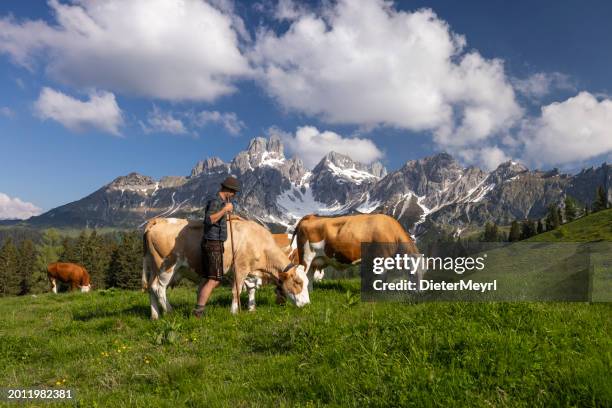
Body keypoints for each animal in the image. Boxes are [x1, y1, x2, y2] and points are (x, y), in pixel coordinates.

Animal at [141, 217, 308, 318]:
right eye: (298, 282)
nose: (307, 305)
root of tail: (159, 220)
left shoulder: (250, 272)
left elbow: (251, 289)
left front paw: (251, 309)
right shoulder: (240, 268)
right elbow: (236, 290)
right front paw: (234, 312)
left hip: (153, 267)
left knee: (150, 288)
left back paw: (155, 315)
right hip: (166, 266)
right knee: (159, 288)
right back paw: (169, 312)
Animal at [290, 214, 420, 286]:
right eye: (413, 273)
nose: (419, 293)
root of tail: (311, 217)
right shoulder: (382, 258)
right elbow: (381, 278)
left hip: (314, 260)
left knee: (309, 276)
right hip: (306, 257)